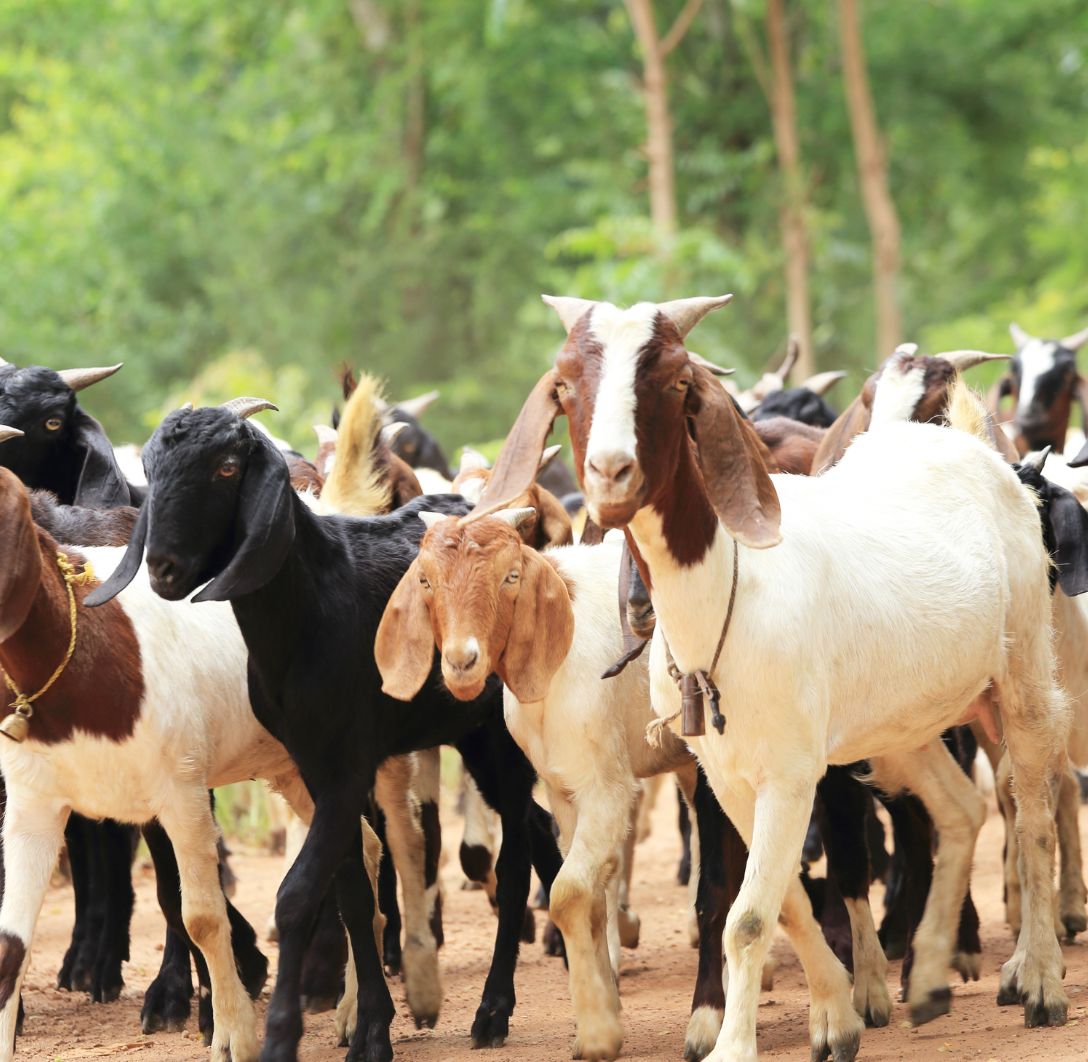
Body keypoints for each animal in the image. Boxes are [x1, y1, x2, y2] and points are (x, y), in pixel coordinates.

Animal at [88, 399, 564, 1060]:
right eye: (151, 468)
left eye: (228, 466)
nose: (162, 568)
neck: (313, 606)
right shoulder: (312, 763)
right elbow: (352, 891)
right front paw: (371, 1027)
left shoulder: (347, 766)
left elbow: (298, 896)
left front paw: (284, 1033)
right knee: (537, 830)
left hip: (499, 736)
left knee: (516, 856)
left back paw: (494, 1010)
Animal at [477, 294, 1073, 1062]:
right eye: (566, 384)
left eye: (674, 379)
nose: (611, 473)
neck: (730, 590)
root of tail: (968, 446)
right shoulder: (728, 774)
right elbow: (781, 899)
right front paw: (837, 1017)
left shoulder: (789, 773)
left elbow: (749, 917)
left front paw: (735, 1044)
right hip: (899, 725)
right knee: (960, 811)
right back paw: (932, 975)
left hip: (1022, 670)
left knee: (1031, 817)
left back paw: (1041, 981)